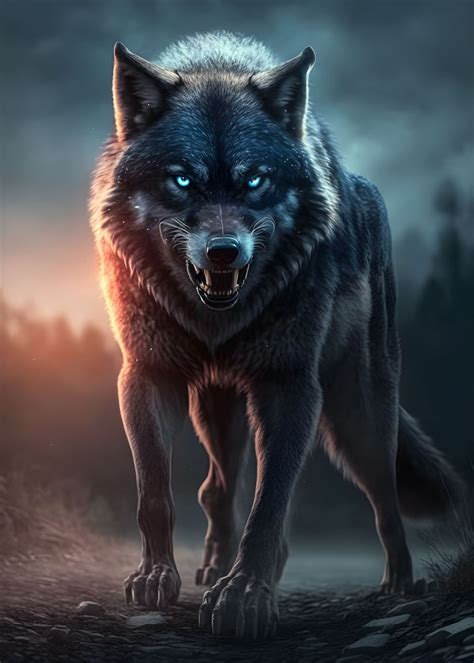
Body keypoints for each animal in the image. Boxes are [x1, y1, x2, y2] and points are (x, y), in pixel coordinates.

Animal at [89, 31, 463, 639]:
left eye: (255, 180)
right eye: (183, 178)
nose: (223, 252)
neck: (218, 315)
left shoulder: (288, 385)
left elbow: (269, 507)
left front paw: (244, 596)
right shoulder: (148, 375)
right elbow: (155, 495)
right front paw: (156, 577)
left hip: (359, 412)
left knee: (382, 495)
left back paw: (400, 583)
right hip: (216, 410)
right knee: (216, 487)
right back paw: (213, 564)